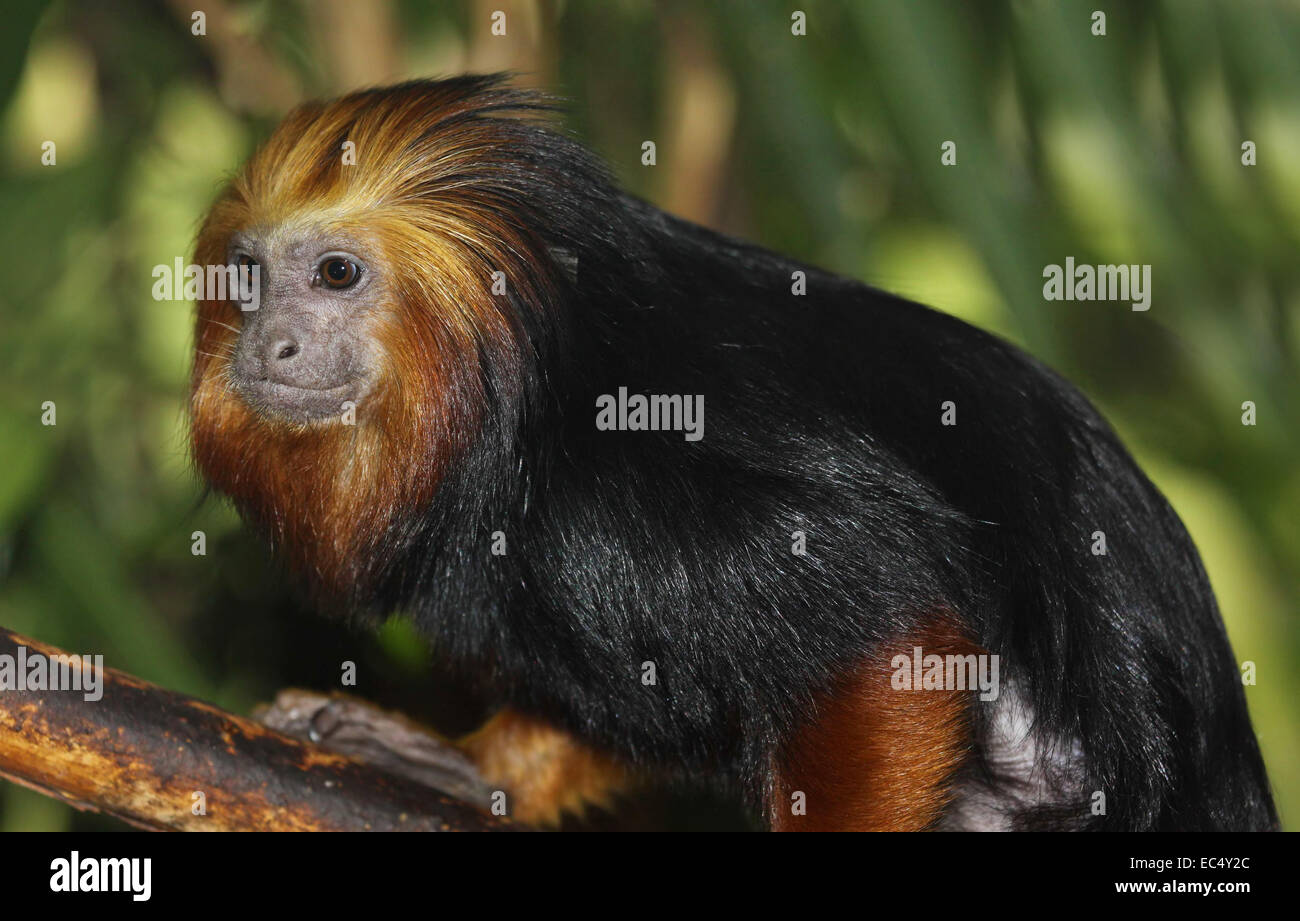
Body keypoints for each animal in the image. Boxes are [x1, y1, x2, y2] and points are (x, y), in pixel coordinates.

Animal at [189, 75, 1276, 831]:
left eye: (336, 275)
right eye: (251, 278)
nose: (267, 345)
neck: (510, 414)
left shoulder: (648, 489)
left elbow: (888, 615)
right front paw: (480, 768)